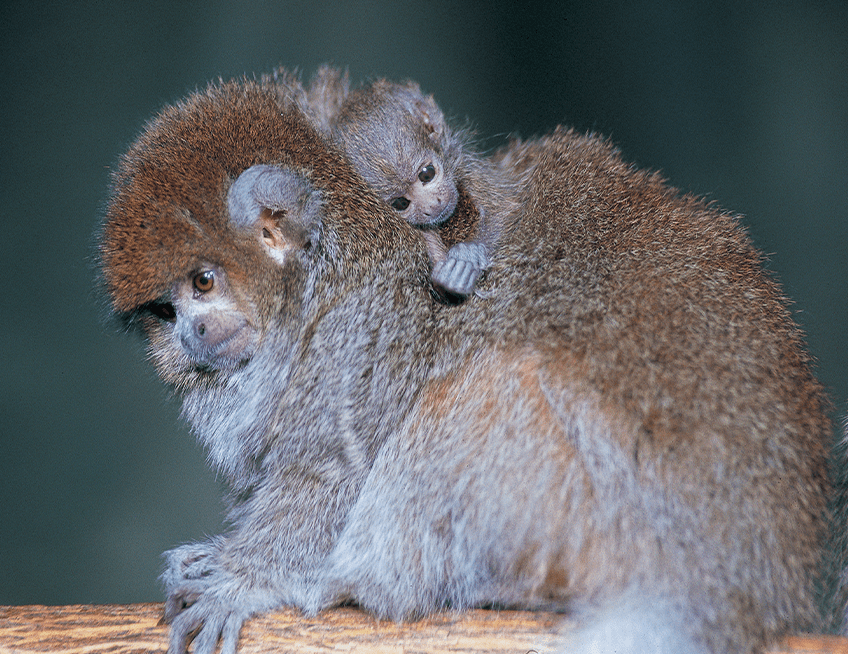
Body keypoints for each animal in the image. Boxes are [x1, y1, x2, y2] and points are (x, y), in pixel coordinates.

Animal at [329, 78, 519, 298]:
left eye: (427, 174)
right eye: (401, 203)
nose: (432, 206)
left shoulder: (467, 166)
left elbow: (506, 208)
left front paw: (467, 257)